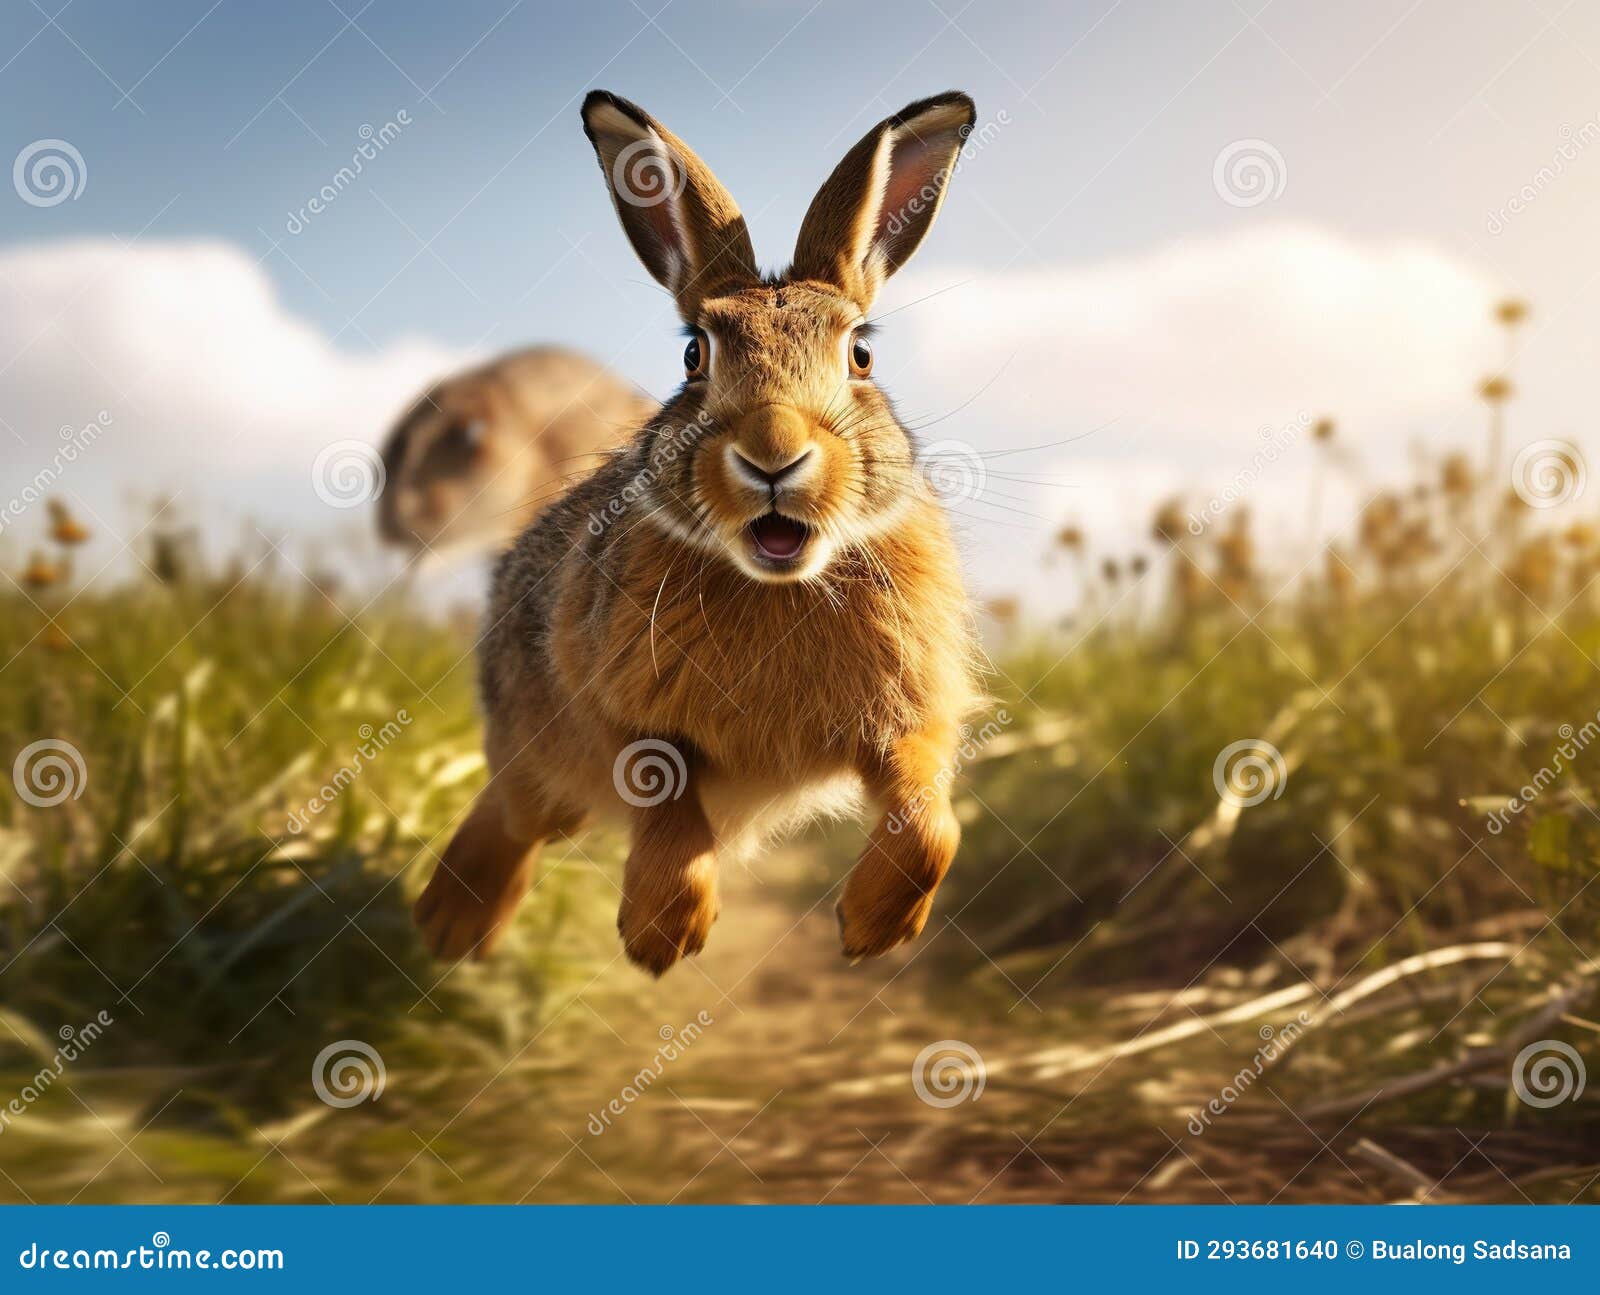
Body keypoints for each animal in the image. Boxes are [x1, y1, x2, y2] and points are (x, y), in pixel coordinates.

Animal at [413, 89, 983, 975]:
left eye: (860, 354)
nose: (775, 454)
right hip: (532, 742)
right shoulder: (616, 704)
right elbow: (668, 793)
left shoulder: (908, 717)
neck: (778, 583)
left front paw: (870, 927)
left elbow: (930, 820)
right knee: (513, 812)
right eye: (694, 355)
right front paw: (661, 935)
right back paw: (448, 924)